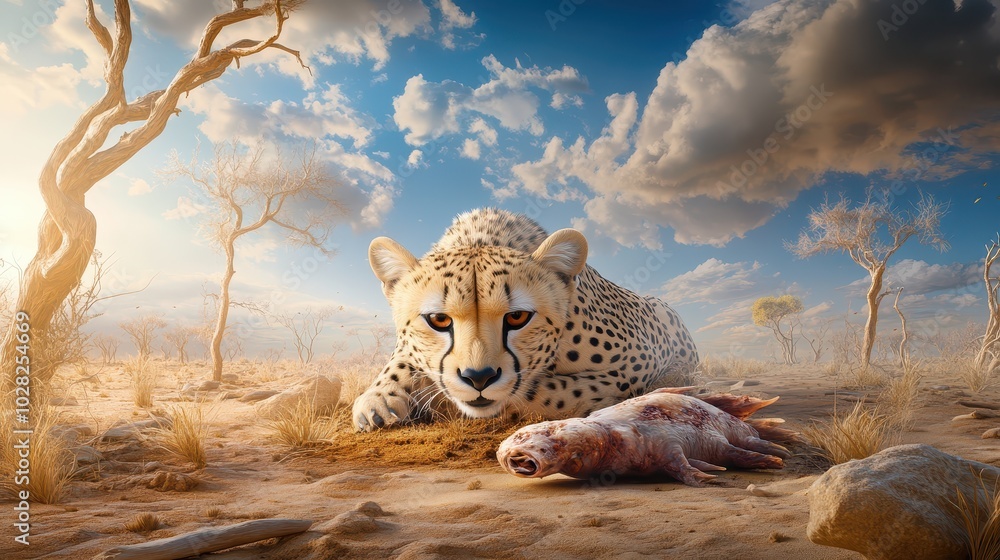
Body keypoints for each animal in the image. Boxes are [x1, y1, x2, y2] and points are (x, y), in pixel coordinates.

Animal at [352, 208, 699, 431]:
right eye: (438, 319)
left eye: (517, 317)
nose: (479, 378)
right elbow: (402, 355)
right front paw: (379, 397)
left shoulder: (641, 360)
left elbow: (551, 391)